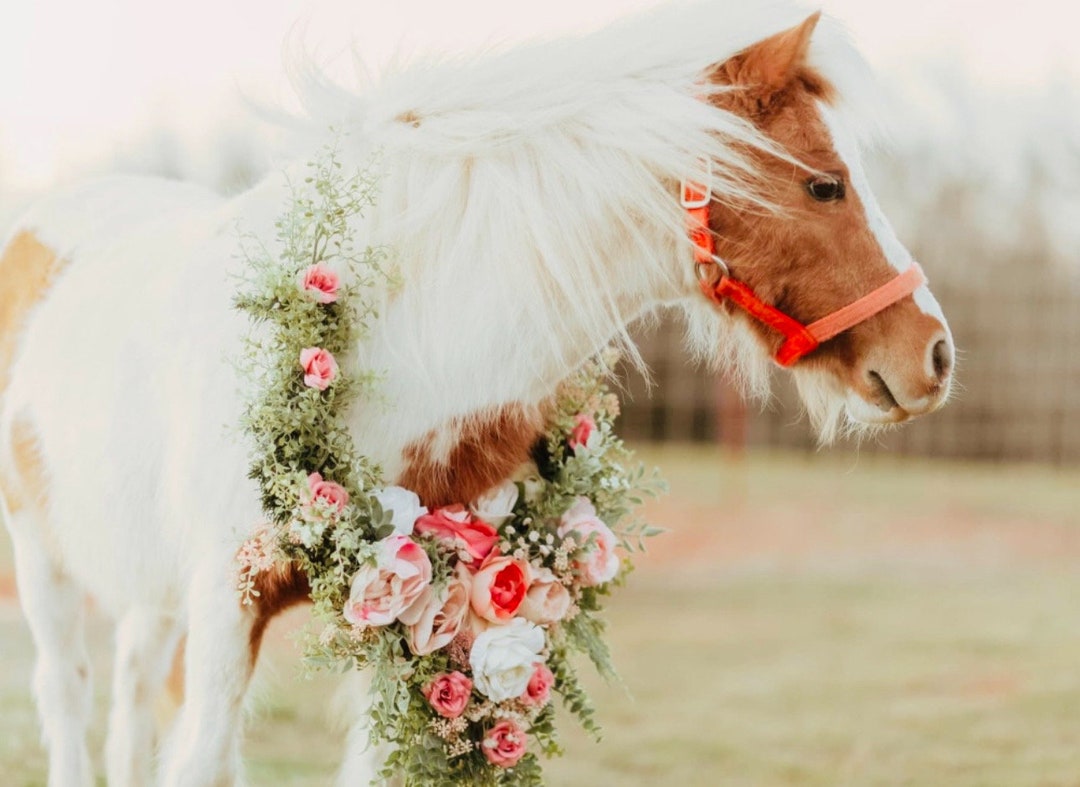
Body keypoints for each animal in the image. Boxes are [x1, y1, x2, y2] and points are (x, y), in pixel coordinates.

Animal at [0, 2, 953, 784]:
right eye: (824, 184)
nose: (935, 355)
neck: (395, 339)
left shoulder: (418, 613)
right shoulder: (227, 602)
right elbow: (201, 755)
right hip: (48, 563)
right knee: (69, 694)